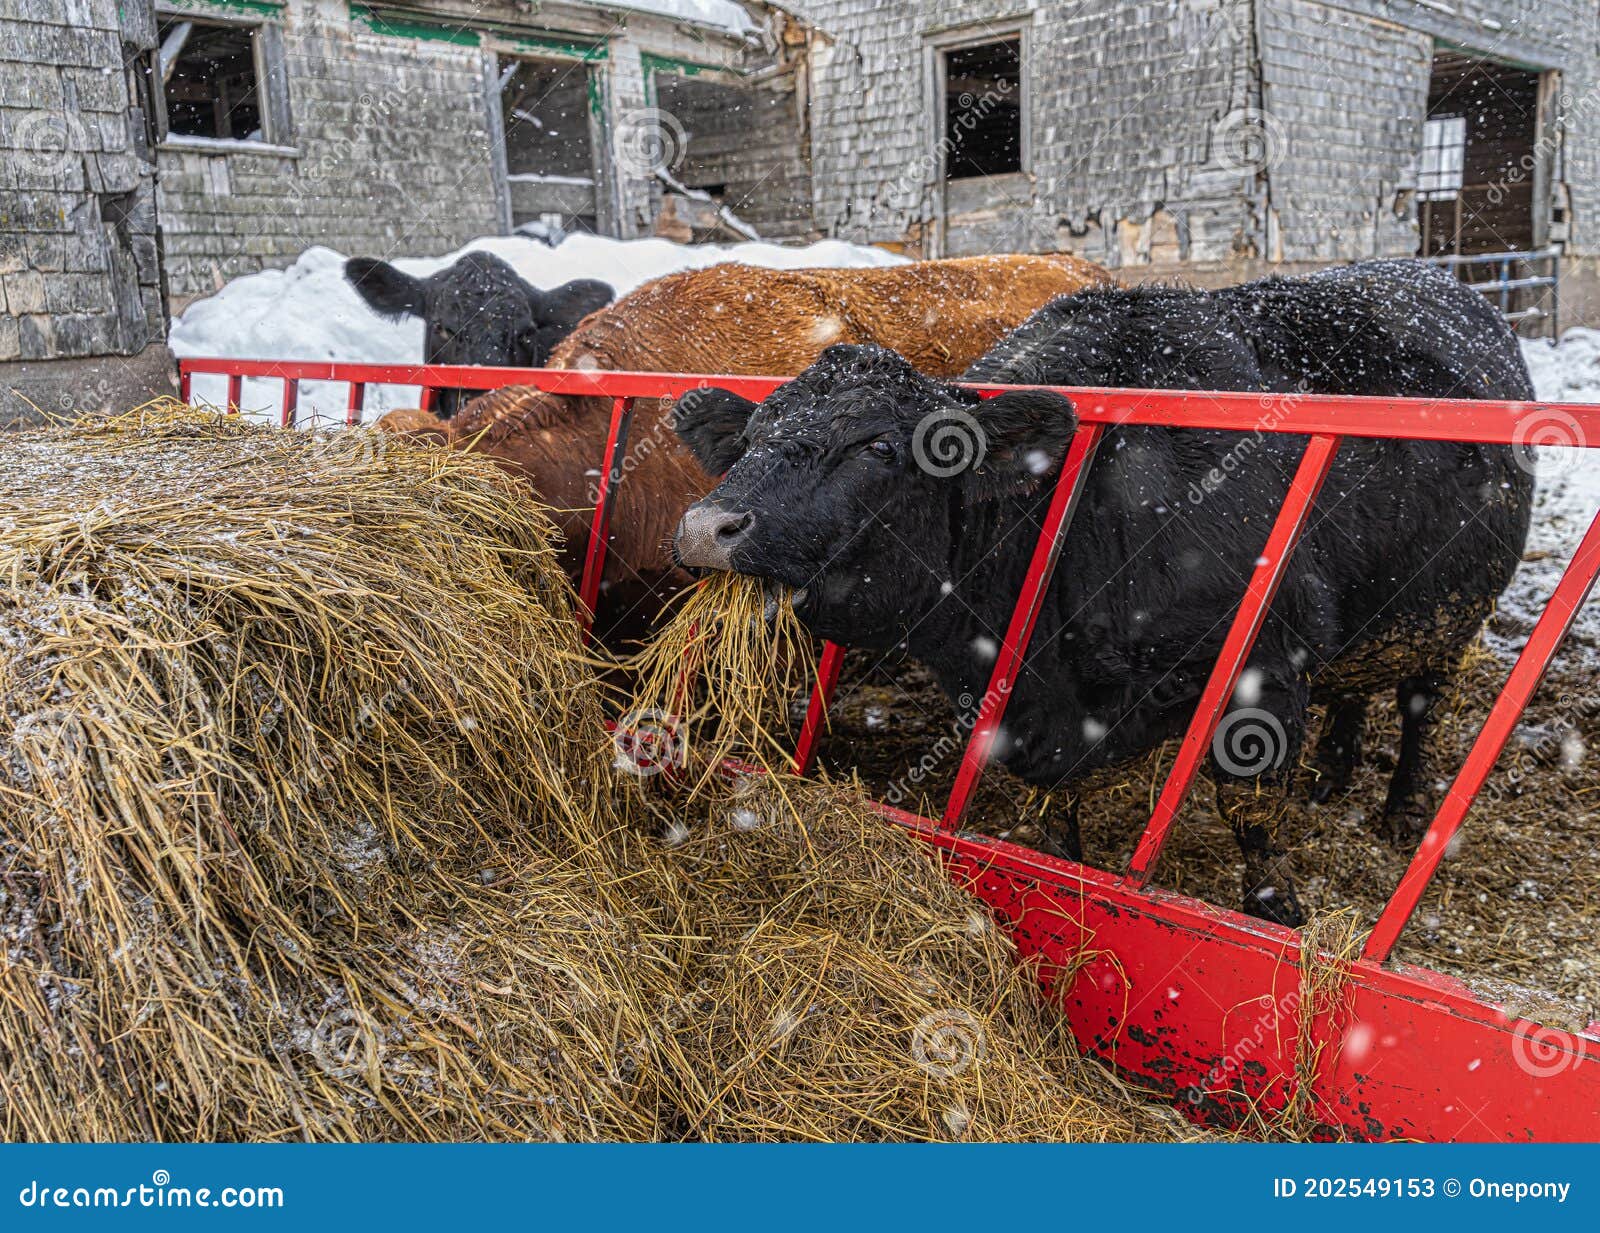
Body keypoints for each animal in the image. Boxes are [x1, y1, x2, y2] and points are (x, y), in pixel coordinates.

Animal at [671, 260, 1536, 926]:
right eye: (750, 438)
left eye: (879, 446)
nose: (706, 525)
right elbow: (1059, 811)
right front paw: (1067, 868)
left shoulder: (1269, 666)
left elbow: (1251, 810)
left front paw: (1278, 911)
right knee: (1356, 688)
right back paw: (1334, 770)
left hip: (1450, 614)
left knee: (1421, 704)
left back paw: (1401, 810)